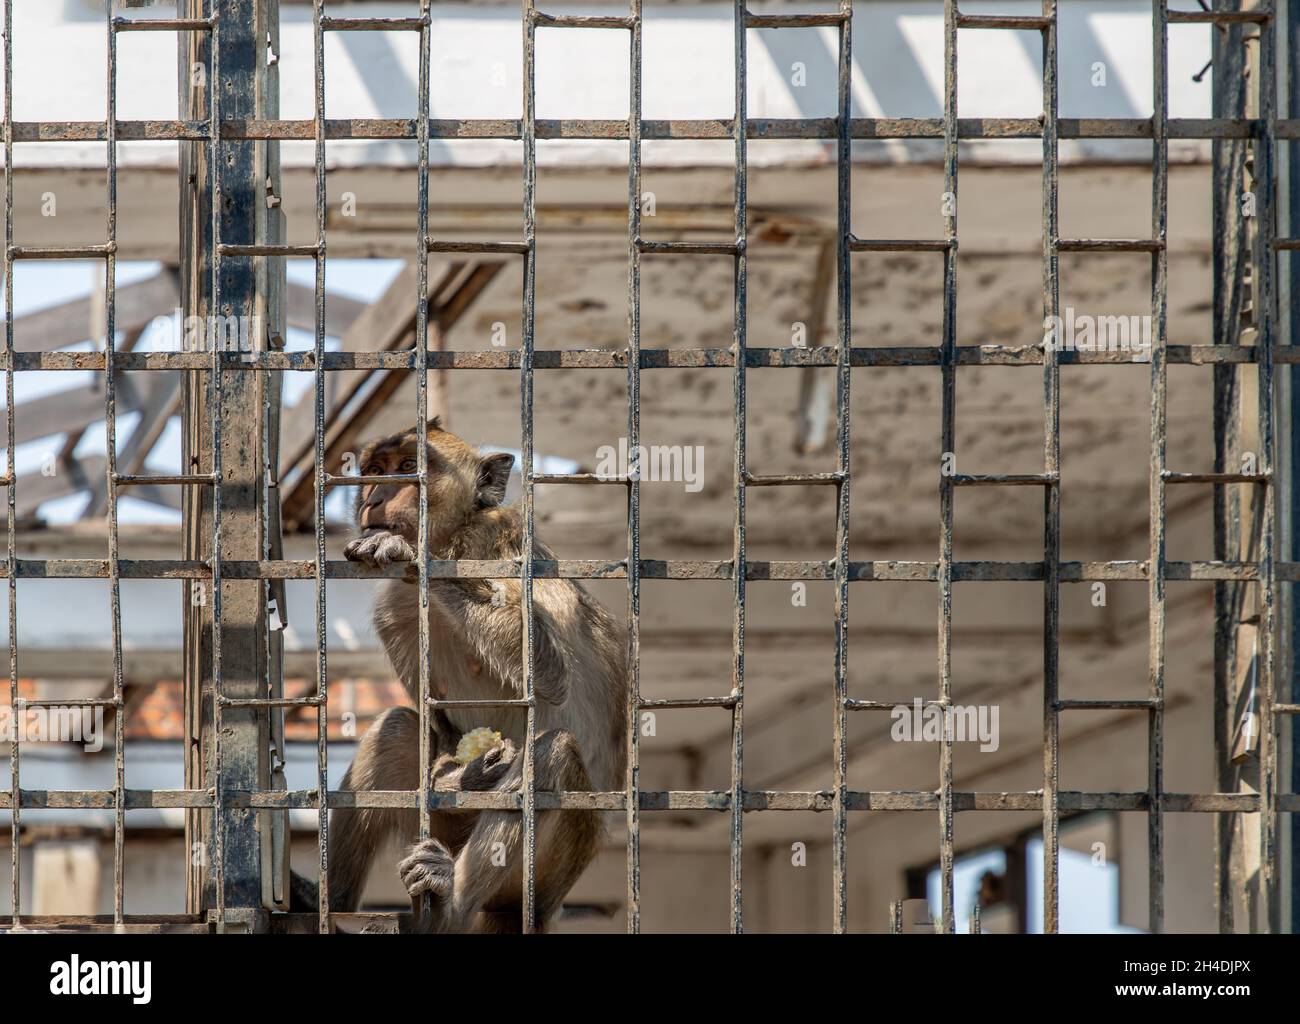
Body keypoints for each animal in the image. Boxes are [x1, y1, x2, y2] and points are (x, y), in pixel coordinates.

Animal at [306, 417, 628, 932]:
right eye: (376, 470)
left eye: (409, 467)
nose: (375, 497)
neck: (452, 536)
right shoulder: (392, 611)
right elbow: (440, 728)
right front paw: (463, 778)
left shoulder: (493, 542)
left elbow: (549, 671)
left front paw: (411, 553)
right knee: (395, 729)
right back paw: (333, 906)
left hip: (552, 867)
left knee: (552, 754)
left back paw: (447, 907)